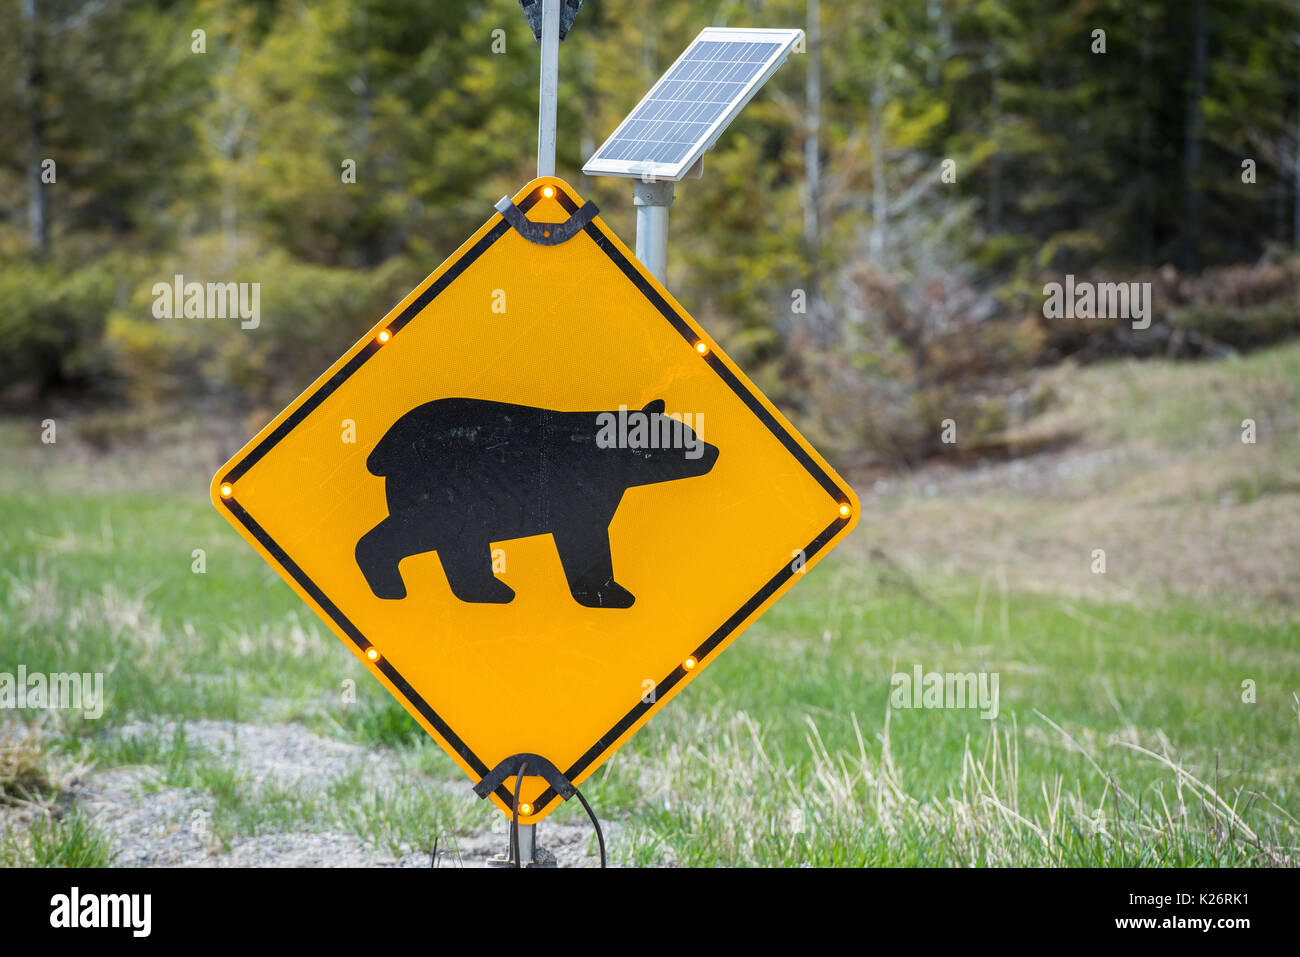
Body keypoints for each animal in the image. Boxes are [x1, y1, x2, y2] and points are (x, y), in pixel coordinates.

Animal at [355, 397, 719, 608]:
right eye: (687, 437)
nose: (714, 450)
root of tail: (384, 450)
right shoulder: (578, 504)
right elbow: (586, 546)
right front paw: (609, 596)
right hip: (442, 501)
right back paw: (390, 589)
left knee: (461, 551)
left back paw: (490, 592)